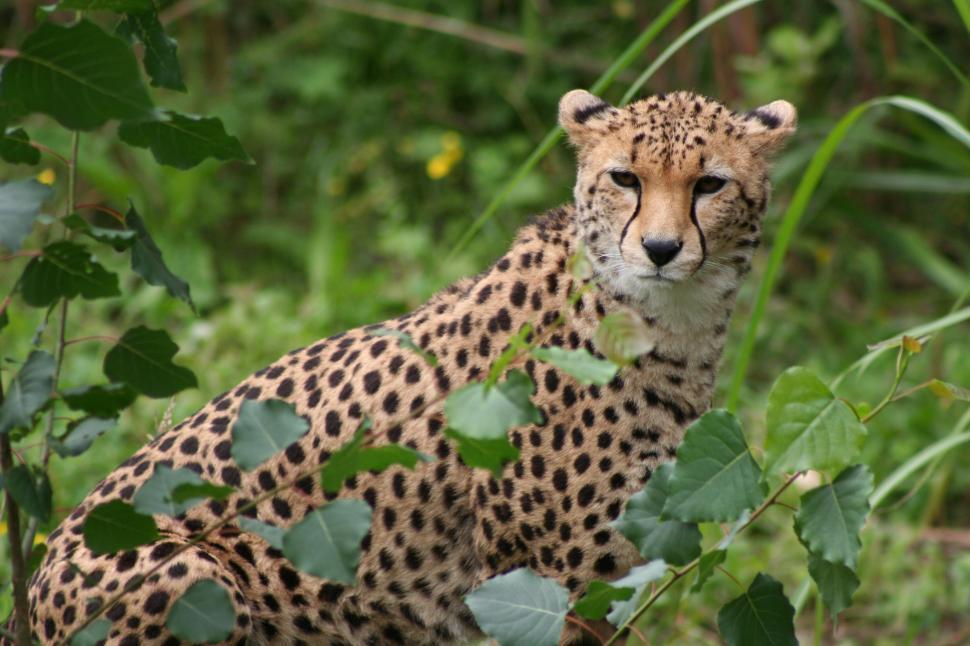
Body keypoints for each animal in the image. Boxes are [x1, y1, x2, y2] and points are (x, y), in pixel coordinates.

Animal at [22, 89, 795, 645]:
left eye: (710, 185)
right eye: (625, 178)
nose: (661, 249)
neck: (666, 321)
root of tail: (36, 577)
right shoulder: (547, 589)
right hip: (193, 569)